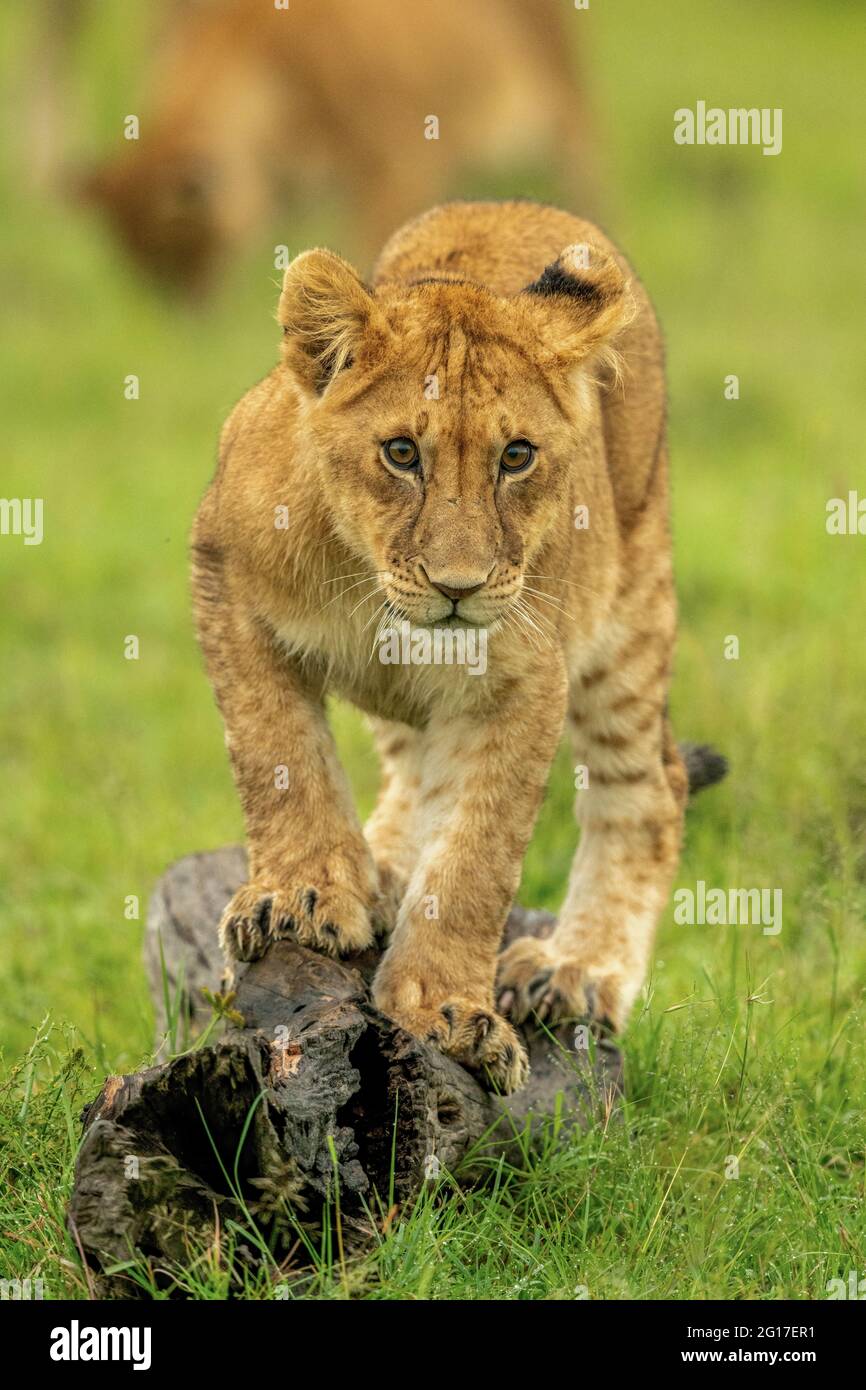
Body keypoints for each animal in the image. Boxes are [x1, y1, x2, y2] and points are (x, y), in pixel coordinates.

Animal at [191, 198, 687, 1092]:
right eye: (401, 453)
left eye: (516, 456)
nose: (461, 586)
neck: (373, 589)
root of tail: (515, 201)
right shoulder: (224, 583)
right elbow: (280, 757)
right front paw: (306, 897)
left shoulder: (523, 678)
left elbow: (473, 861)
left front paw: (446, 1012)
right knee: (408, 771)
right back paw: (380, 874)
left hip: (631, 606)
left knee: (651, 786)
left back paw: (579, 969)